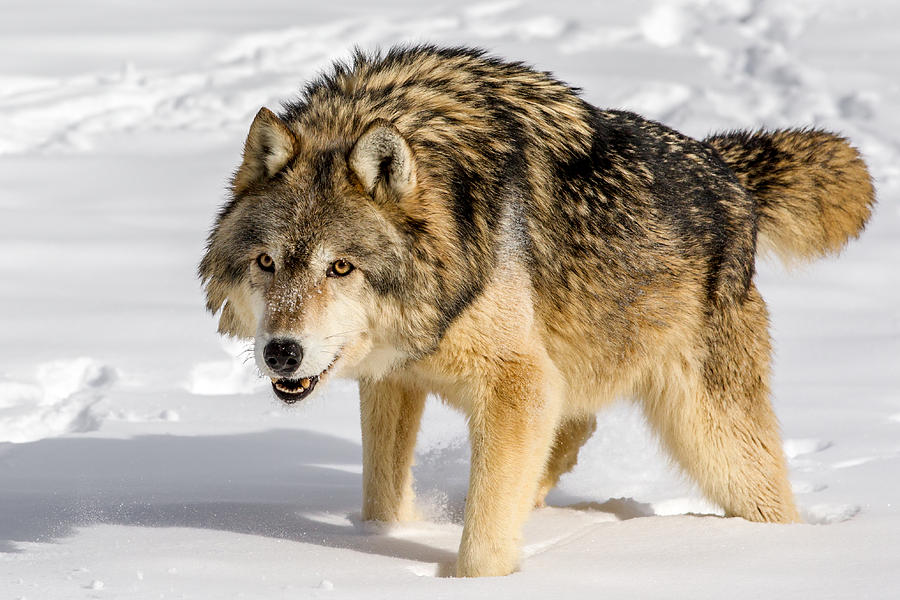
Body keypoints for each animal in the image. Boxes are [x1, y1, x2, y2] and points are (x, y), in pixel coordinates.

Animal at [199, 45, 875, 577]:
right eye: (266, 262)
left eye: (340, 268)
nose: (281, 352)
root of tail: (726, 171)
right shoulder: (396, 379)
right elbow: (382, 498)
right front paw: (389, 538)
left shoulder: (514, 382)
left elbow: (484, 530)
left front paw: (470, 578)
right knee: (572, 430)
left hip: (711, 438)